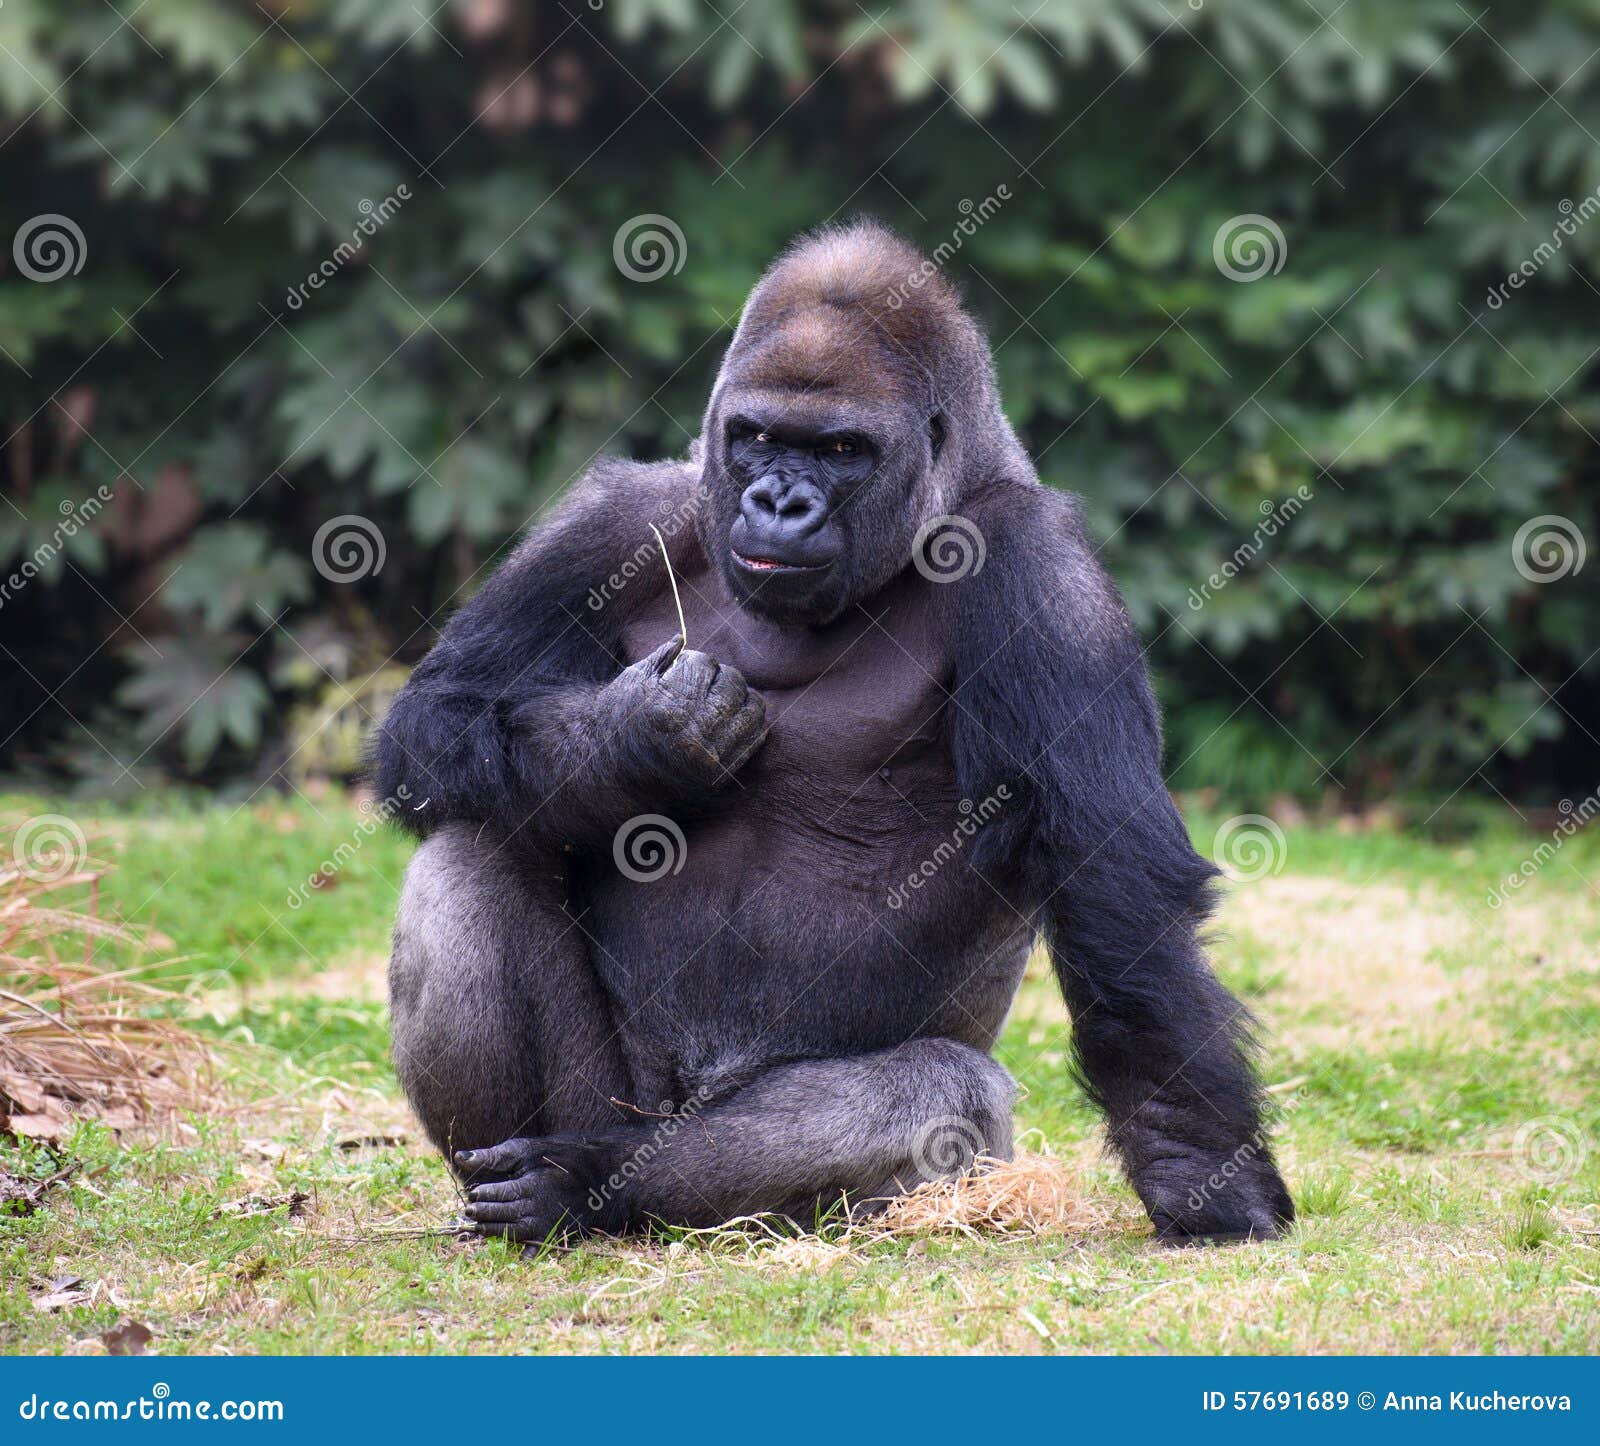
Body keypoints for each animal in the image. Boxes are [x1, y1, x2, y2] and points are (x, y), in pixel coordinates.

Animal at [375, 219, 1294, 1245]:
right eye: (759, 438)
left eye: (842, 449)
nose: (780, 501)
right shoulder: (618, 518)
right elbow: (436, 718)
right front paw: (637, 737)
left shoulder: (1038, 565)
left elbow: (1113, 881)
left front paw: (1200, 1169)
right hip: (604, 1098)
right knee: (474, 843)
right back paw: (528, 1191)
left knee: (940, 1092)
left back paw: (594, 1183)